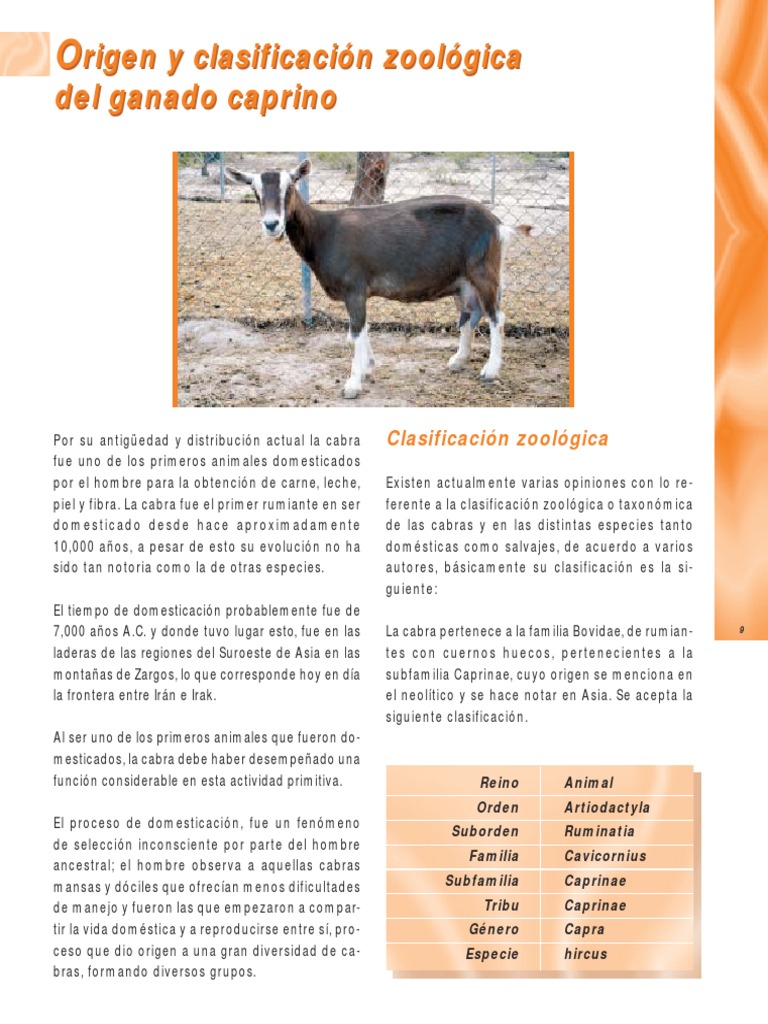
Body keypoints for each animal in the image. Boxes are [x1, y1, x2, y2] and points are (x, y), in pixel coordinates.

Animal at [228, 159, 516, 399]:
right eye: (254, 190)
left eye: (290, 186)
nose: (271, 224)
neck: (324, 233)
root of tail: (497, 223)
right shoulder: (359, 292)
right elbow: (363, 328)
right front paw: (368, 368)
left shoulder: (354, 288)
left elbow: (356, 331)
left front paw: (353, 384)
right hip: (462, 281)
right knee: (469, 314)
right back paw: (459, 360)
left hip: (484, 272)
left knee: (496, 317)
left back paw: (490, 370)